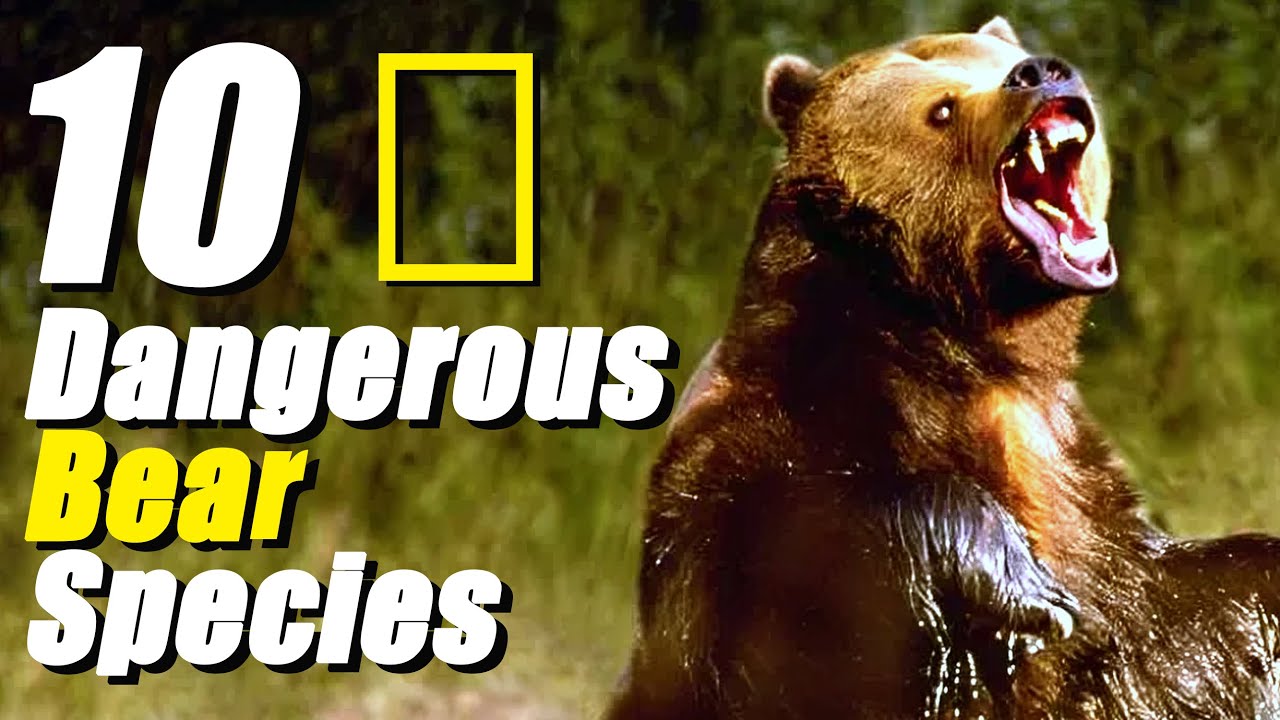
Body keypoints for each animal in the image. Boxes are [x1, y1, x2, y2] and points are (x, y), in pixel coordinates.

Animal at [606, 16, 1280, 720]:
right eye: (943, 108)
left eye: (999, 59)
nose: (1041, 72)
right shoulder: (764, 444)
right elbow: (798, 558)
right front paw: (1025, 586)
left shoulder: (1073, 480)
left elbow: (1166, 615)